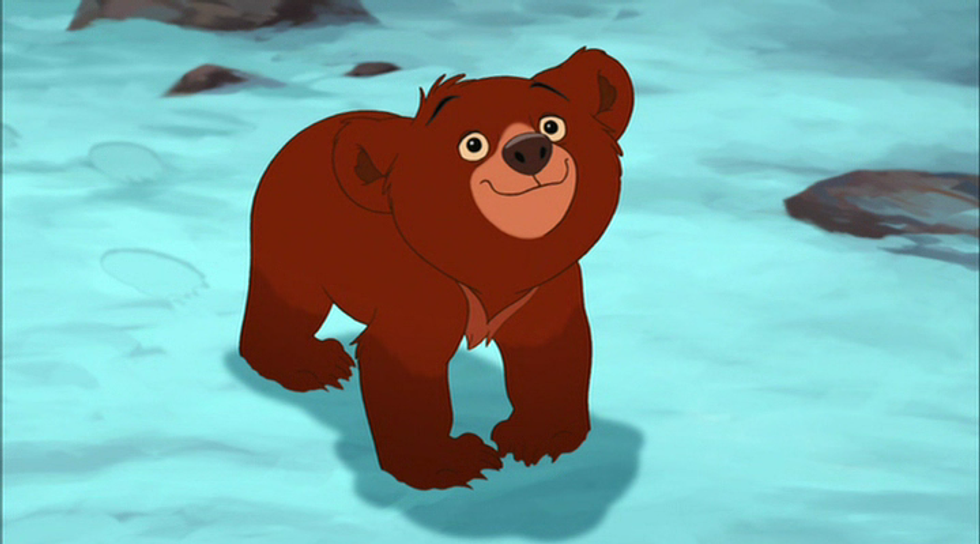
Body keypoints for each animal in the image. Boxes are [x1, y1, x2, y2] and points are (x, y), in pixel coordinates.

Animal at [239, 48, 634, 490]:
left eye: (553, 124)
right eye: (472, 144)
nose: (530, 149)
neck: (495, 265)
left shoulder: (546, 287)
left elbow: (548, 353)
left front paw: (541, 437)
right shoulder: (420, 294)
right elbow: (407, 372)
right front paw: (450, 462)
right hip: (292, 241)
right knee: (288, 304)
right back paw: (311, 364)